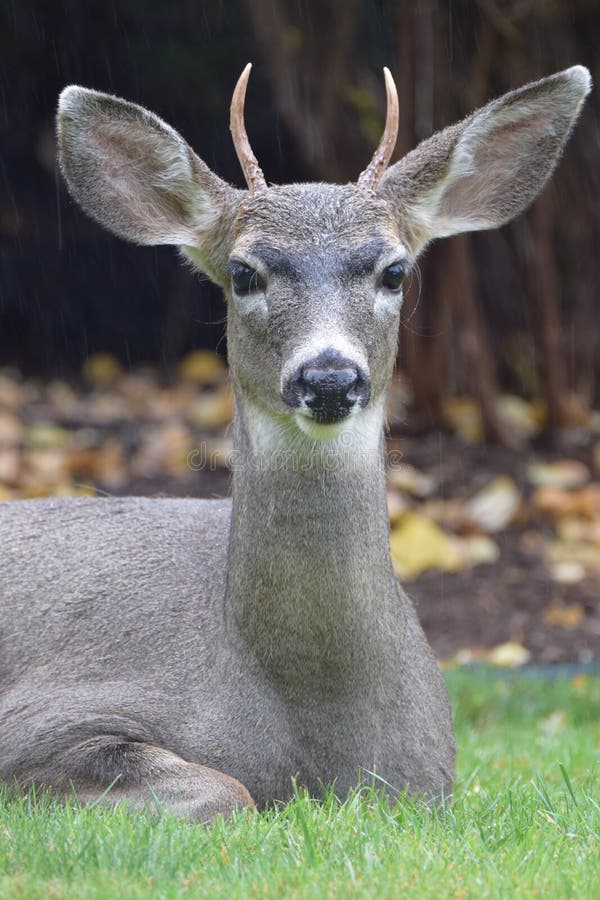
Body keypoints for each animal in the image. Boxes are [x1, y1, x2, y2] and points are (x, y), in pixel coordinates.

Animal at [0, 64, 591, 822]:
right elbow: (229, 789)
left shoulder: (427, 785)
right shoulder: (43, 716)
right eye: (244, 272)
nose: (329, 376)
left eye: (393, 270)